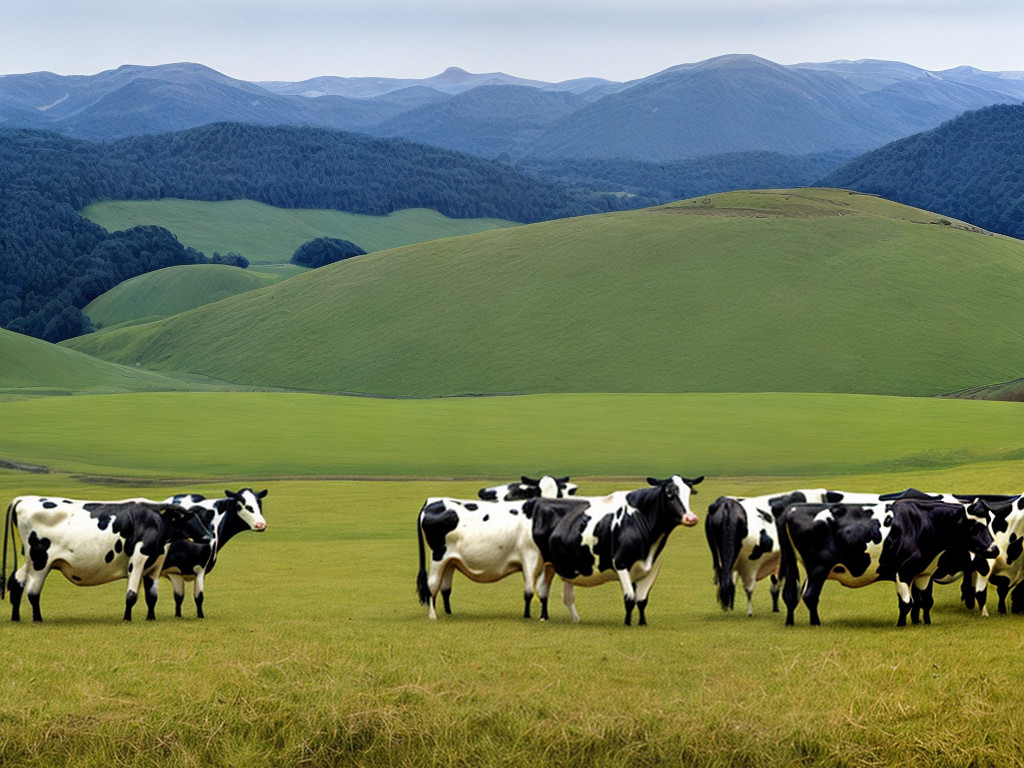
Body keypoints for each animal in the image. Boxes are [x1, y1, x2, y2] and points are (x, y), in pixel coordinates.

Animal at [2, 496, 211, 622]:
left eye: (200, 518)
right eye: (190, 519)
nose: (209, 536)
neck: (155, 521)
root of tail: (24, 499)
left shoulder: (155, 564)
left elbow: (151, 596)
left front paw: (151, 618)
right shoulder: (138, 559)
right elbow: (131, 594)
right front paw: (127, 618)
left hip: (30, 560)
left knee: (17, 580)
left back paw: (15, 617)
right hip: (40, 562)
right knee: (32, 591)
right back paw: (38, 618)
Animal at [158, 488, 268, 618]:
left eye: (259, 503)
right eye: (243, 505)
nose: (261, 524)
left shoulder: (175, 572)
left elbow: (179, 598)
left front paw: (178, 615)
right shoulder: (200, 569)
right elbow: (199, 597)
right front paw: (200, 616)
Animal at [529, 475, 704, 626]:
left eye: (690, 492)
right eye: (669, 493)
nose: (691, 518)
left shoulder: (653, 567)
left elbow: (642, 600)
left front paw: (642, 623)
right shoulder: (621, 562)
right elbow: (630, 598)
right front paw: (627, 623)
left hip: (553, 564)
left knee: (550, 591)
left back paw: (564, 618)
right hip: (537, 559)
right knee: (540, 588)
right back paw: (542, 616)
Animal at [777, 498, 997, 626]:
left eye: (987, 522)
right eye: (972, 525)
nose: (994, 549)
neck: (923, 523)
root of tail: (792, 508)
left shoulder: (924, 573)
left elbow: (925, 601)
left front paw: (924, 623)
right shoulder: (904, 571)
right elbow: (907, 603)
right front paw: (901, 624)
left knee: (791, 594)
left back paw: (790, 622)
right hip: (818, 569)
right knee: (809, 596)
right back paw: (815, 623)